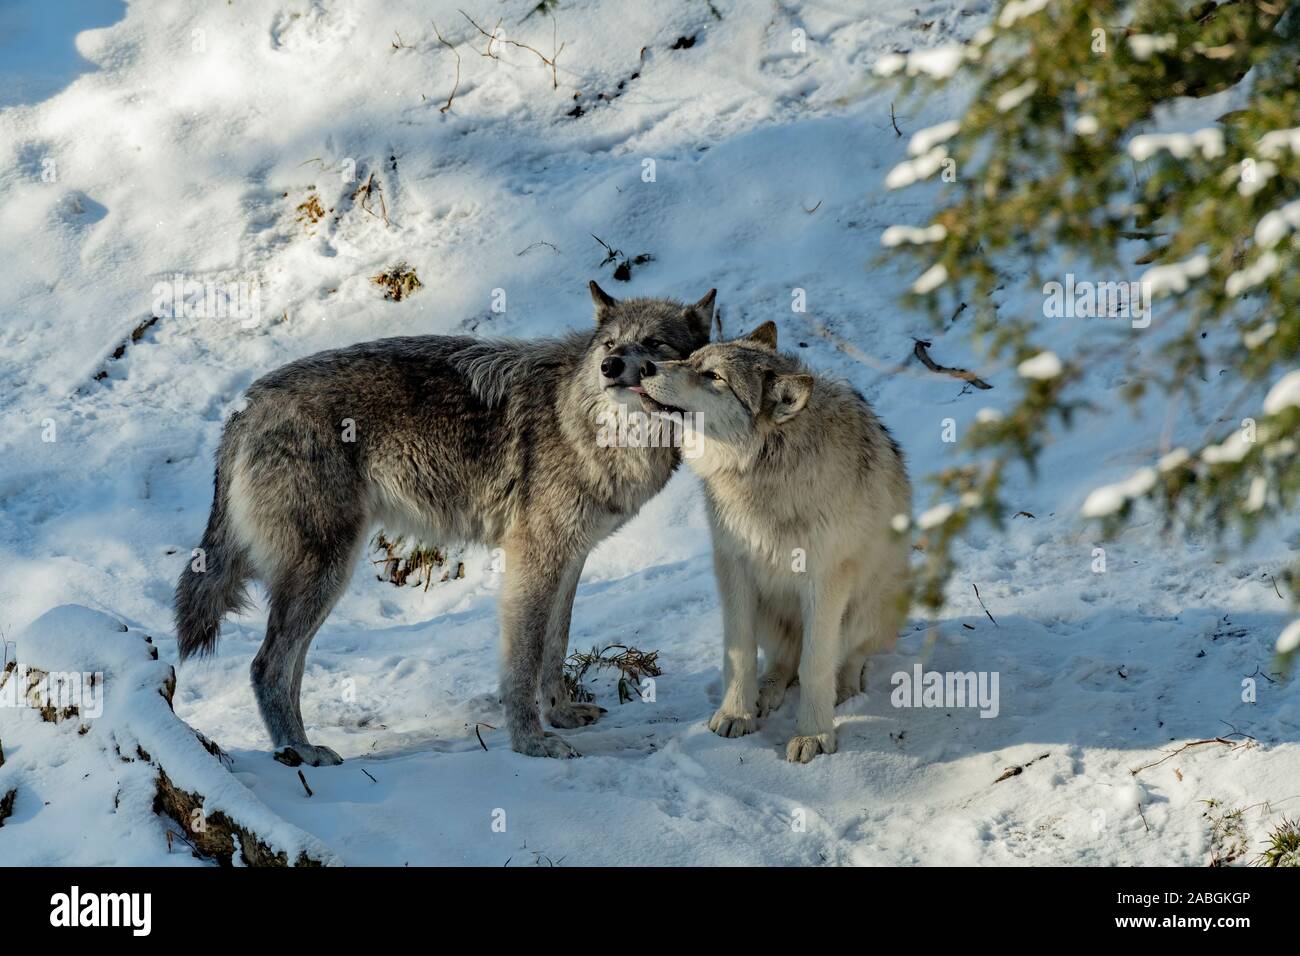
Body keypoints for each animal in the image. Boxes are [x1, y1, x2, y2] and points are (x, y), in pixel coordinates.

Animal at [174, 282, 715, 765]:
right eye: (609, 344)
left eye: (654, 345)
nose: (608, 367)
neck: (589, 429)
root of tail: (246, 407)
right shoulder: (532, 561)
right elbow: (523, 660)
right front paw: (532, 744)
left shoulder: (570, 559)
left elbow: (555, 646)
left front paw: (560, 715)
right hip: (326, 571)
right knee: (267, 665)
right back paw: (300, 751)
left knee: (288, 666)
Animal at [638, 322, 911, 762]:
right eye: (691, 360)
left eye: (713, 376)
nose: (645, 366)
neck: (766, 468)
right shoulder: (733, 567)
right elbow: (740, 653)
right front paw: (737, 713)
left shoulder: (825, 580)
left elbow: (816, 664)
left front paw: (813, 735)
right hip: (770, 609)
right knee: (783, 659)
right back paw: (766, 692)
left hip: (872, 602)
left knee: (846, 655)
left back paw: (846, 690)